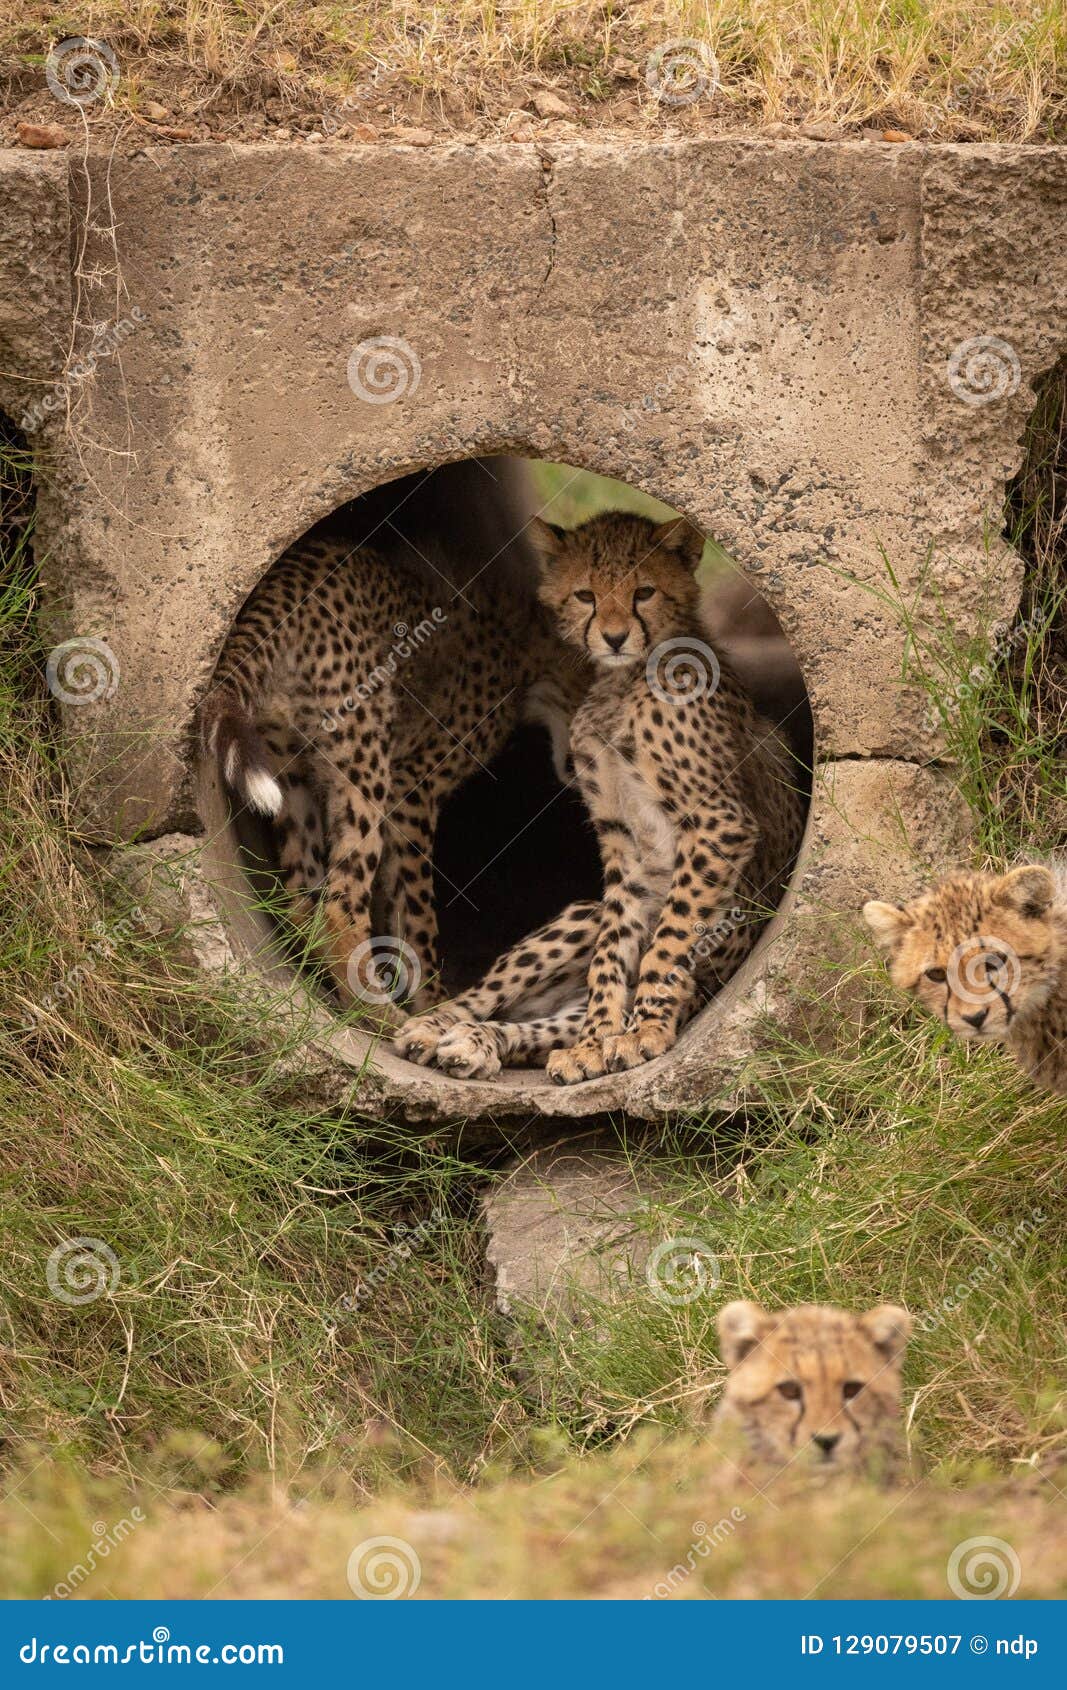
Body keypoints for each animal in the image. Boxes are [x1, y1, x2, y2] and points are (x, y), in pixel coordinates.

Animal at [200, 460, 588, 1025]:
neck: (521, 645)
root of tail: (284, 576)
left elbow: (392, 900)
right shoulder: (412, 788)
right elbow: (417, 907)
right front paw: (434, 1002)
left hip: (290, 768)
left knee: (304, 898)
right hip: (365, 762)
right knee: (338, 904)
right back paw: (382, 1017)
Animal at [395, 510, 806, 1080]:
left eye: (644, 592)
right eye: (586, 595)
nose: (613, 637)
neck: (622, 682)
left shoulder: (717, 823)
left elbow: (669, 937)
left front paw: (640, 1031)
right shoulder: (621, 841)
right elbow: (613, 949)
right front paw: (597, 1040)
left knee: (522, 1026)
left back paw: (474, 1044)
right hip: (578, 917)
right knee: (481, 998)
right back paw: (432, 1029)